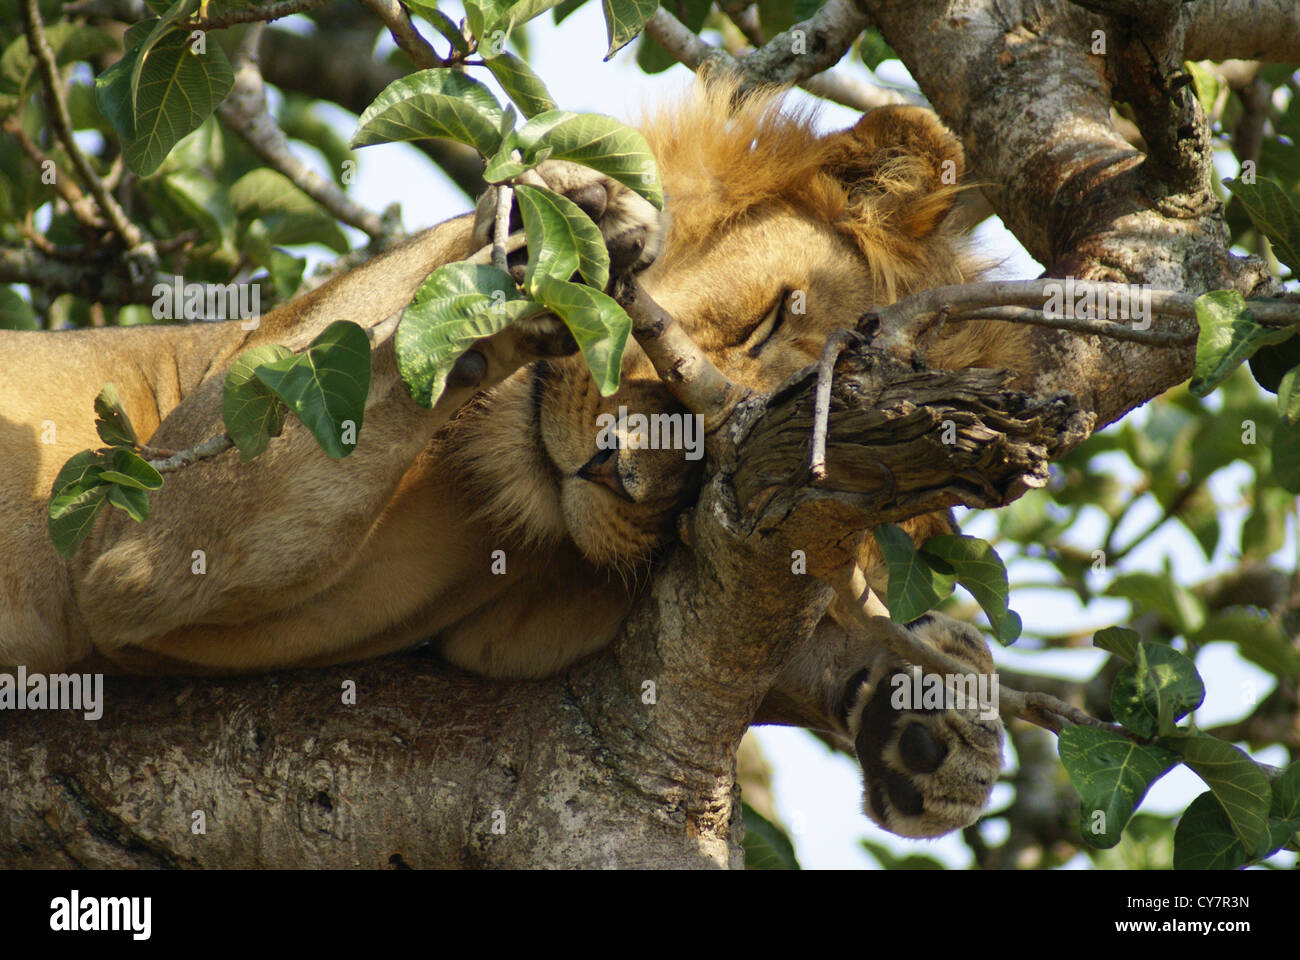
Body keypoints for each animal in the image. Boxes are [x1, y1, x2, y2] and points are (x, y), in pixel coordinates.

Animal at [0, 84, 1024, 839]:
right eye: (769, 318)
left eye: (716, 468)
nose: (618, 468)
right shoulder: (139, 519)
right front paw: (557, 233)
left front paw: (928, 723)